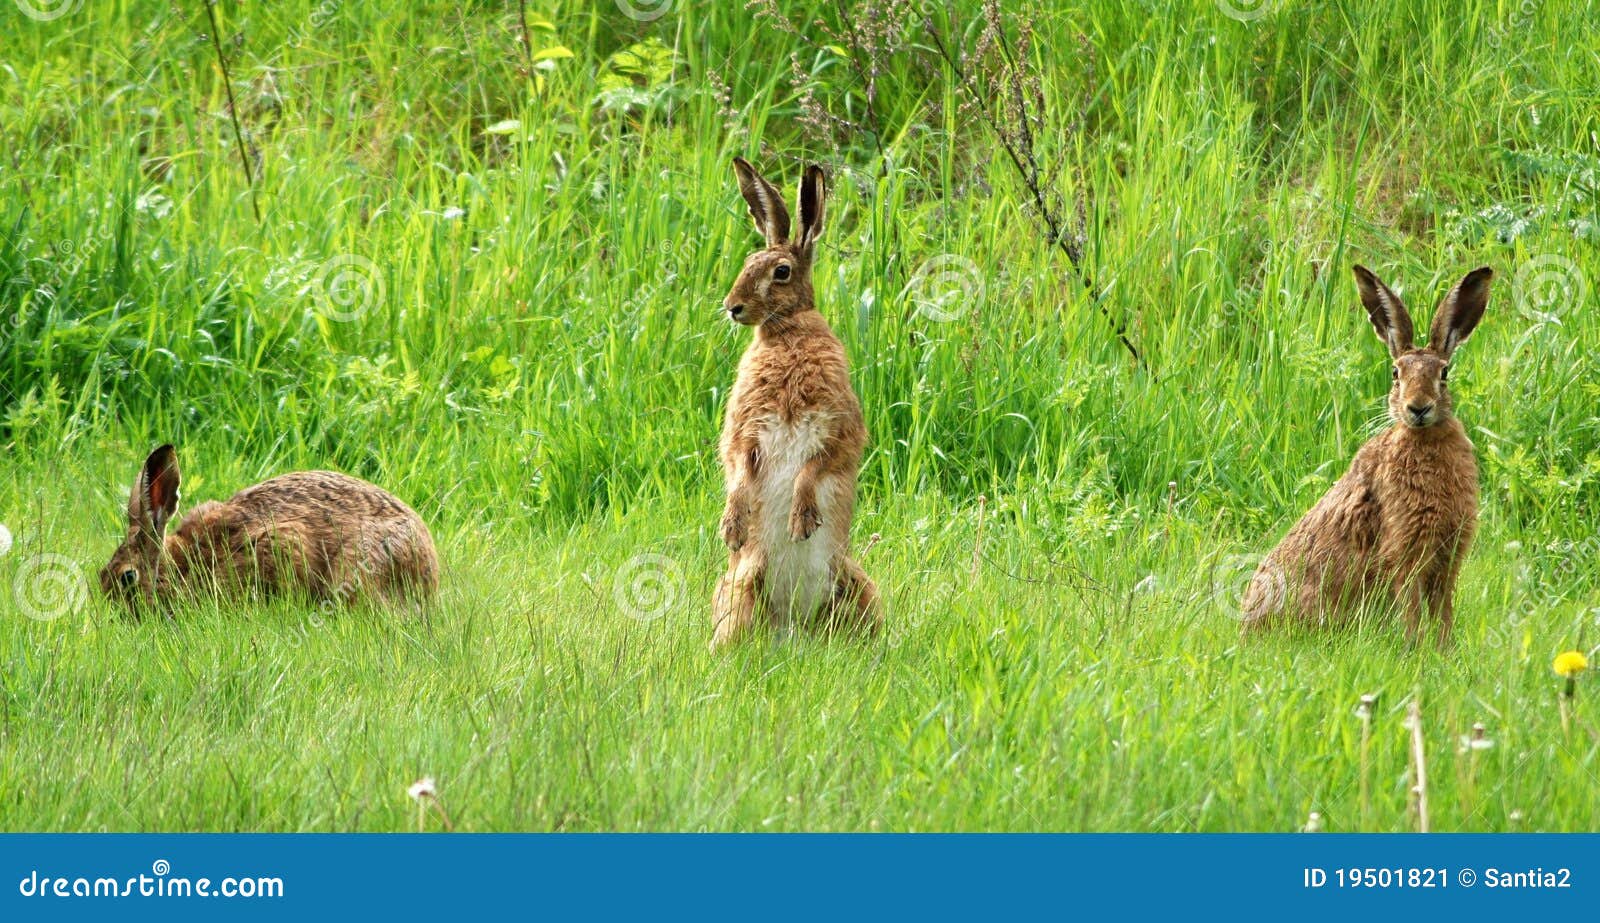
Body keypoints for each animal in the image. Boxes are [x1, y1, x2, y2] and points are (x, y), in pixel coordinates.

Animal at [711, 157, 882, 649]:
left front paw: (801, 522)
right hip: (739, 586)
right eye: (748, 263)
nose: (732, 307)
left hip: (857, 581)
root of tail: (792, 628)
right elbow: (737, 471)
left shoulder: (838, 431)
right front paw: (732, 528)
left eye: (781, 272)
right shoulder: (744, 431)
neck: (787, 331)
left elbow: (815, 468)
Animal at [1241, 265, 1493, 647]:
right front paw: (1415, 649)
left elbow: (1443, 609)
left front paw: (1443, 650)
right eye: (1396, 373)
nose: (1418, 408)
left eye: (1444, 373)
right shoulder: (1404, 551)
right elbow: (1413, 607)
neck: (1424, 438)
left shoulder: (1447, 557)